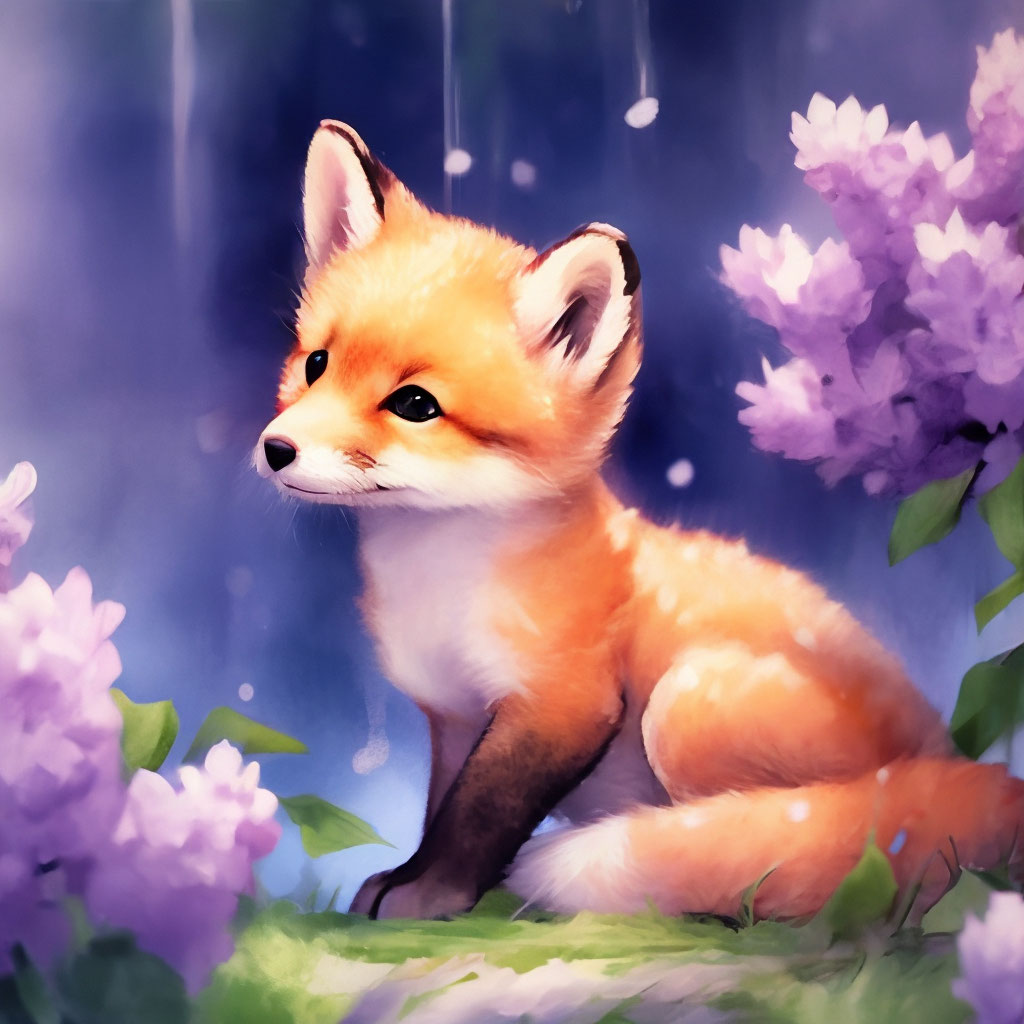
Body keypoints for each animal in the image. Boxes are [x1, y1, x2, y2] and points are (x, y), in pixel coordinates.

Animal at [255, 120, 1024, 923]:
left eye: (414, 405)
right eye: (316, 364)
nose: (276, 450)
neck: (442, 580)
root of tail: (950, 761)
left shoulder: (562, 704)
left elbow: (481, 815)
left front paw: (432, 896)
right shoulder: (457, 716)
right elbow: (444, 807)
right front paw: (407, 879)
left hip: (685, 707)